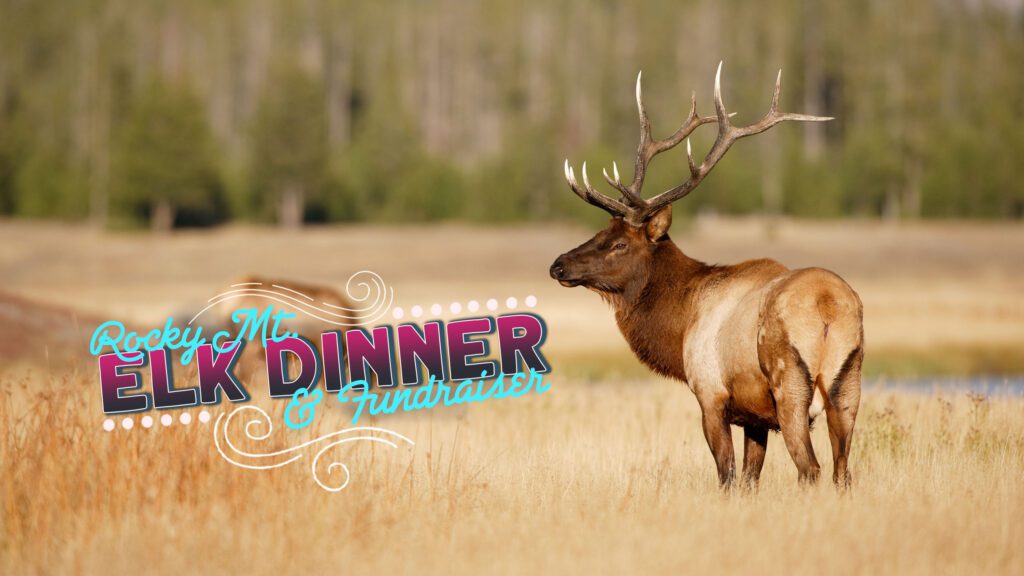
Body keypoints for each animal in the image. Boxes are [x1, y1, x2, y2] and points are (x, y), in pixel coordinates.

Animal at [550, 63, 863, 489]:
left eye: (618, 243)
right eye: (599, 232)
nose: (559, 265)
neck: (682, 321)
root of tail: (828, 306)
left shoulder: (710, 394)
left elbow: (727, 474)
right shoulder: (754, 416)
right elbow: (750, 479)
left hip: (790, 385)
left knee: (810, 469)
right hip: (848, 385)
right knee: (842, 472)